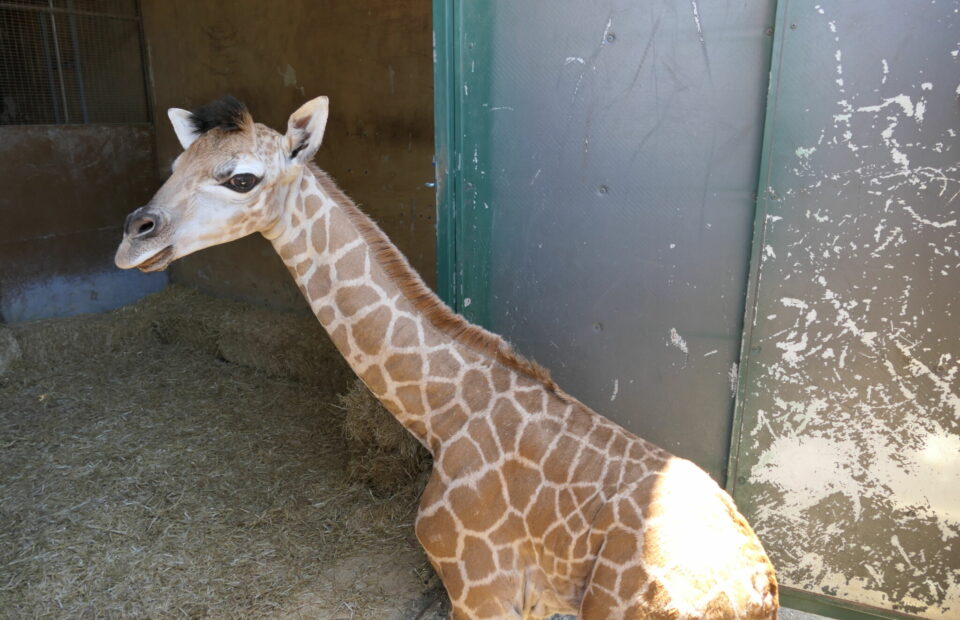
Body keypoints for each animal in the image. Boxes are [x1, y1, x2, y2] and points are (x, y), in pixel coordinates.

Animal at [115, 96, 778, 620]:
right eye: (174, 167)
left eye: (242, 179)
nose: (131, 238)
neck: (441, 416)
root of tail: (759, 594)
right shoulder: (529, 602)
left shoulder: (480, 589)